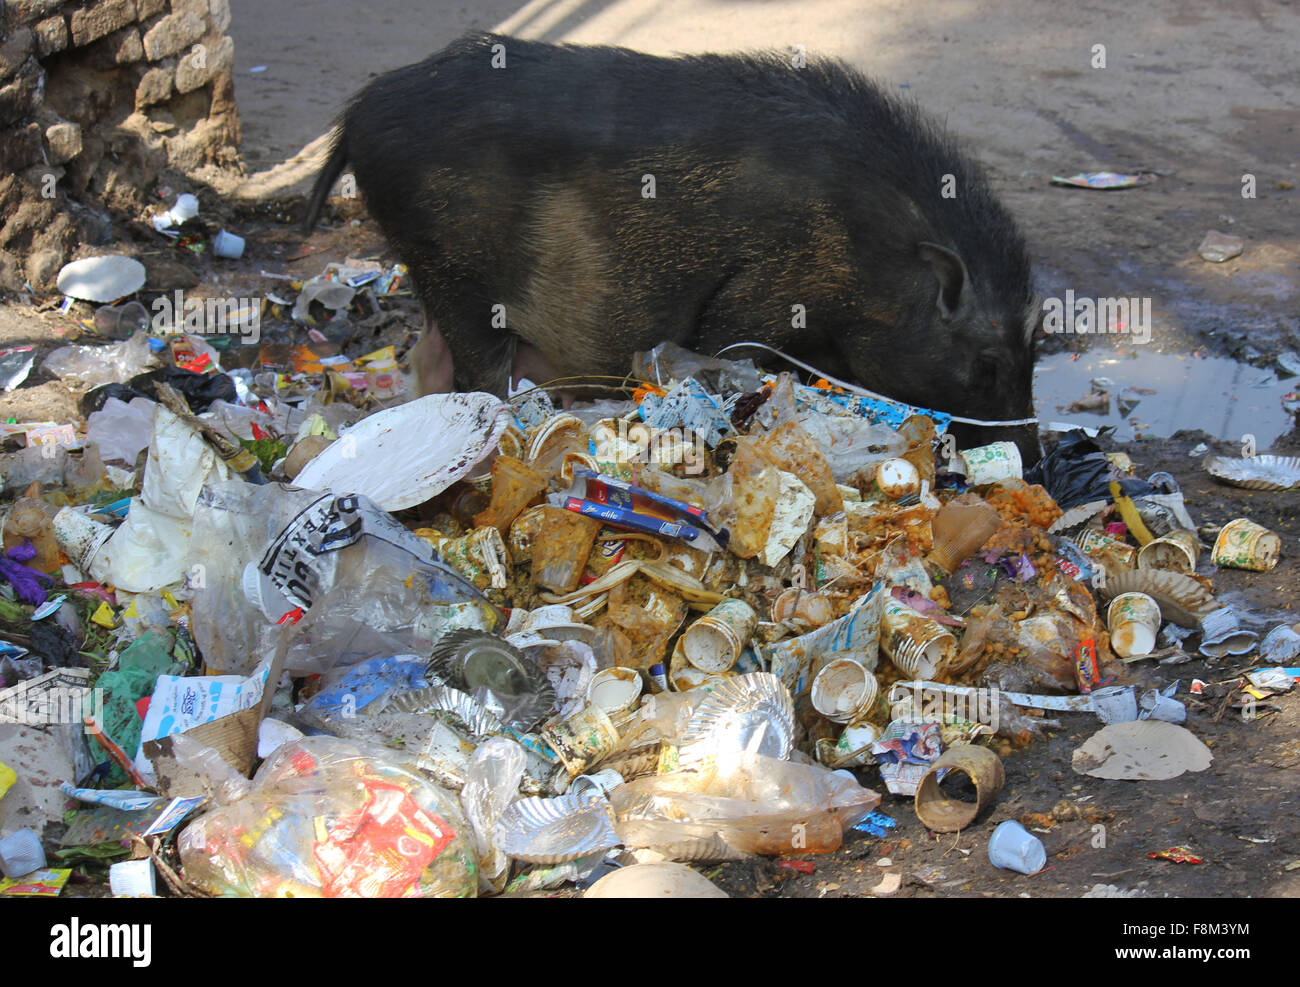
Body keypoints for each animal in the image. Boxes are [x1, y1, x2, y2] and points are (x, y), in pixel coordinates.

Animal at [303, 32, 1040, 459]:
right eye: (987, 363)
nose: (1034, 465)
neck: (875, 262)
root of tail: (360, 112)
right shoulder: (757, 298)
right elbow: (731, 350)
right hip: (455, 276)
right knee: (475, 375)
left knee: (424, 365)